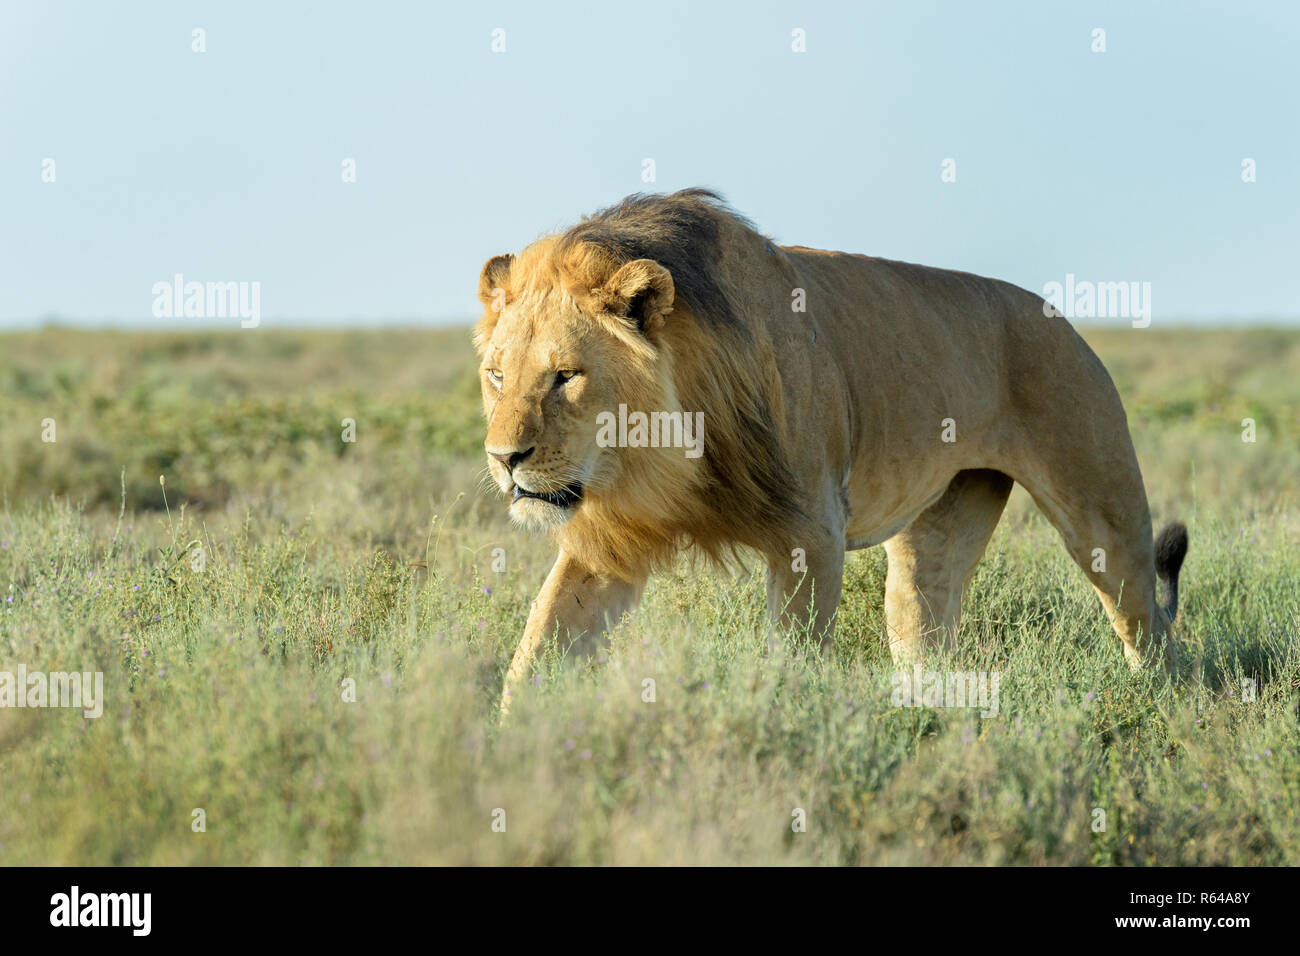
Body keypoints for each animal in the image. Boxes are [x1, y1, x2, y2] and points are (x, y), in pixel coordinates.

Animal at [474, 188, 1189, 714]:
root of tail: (1060, 318)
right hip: (941, 528)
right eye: (498, 376)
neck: (663, 454)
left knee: (1148, 627)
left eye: (566, 376)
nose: (505, 458)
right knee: (926, 626)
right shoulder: (607, 542)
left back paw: (1158, 711)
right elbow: (537, 649)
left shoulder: (812, 532)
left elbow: (791, 658)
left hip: (1103, 511)